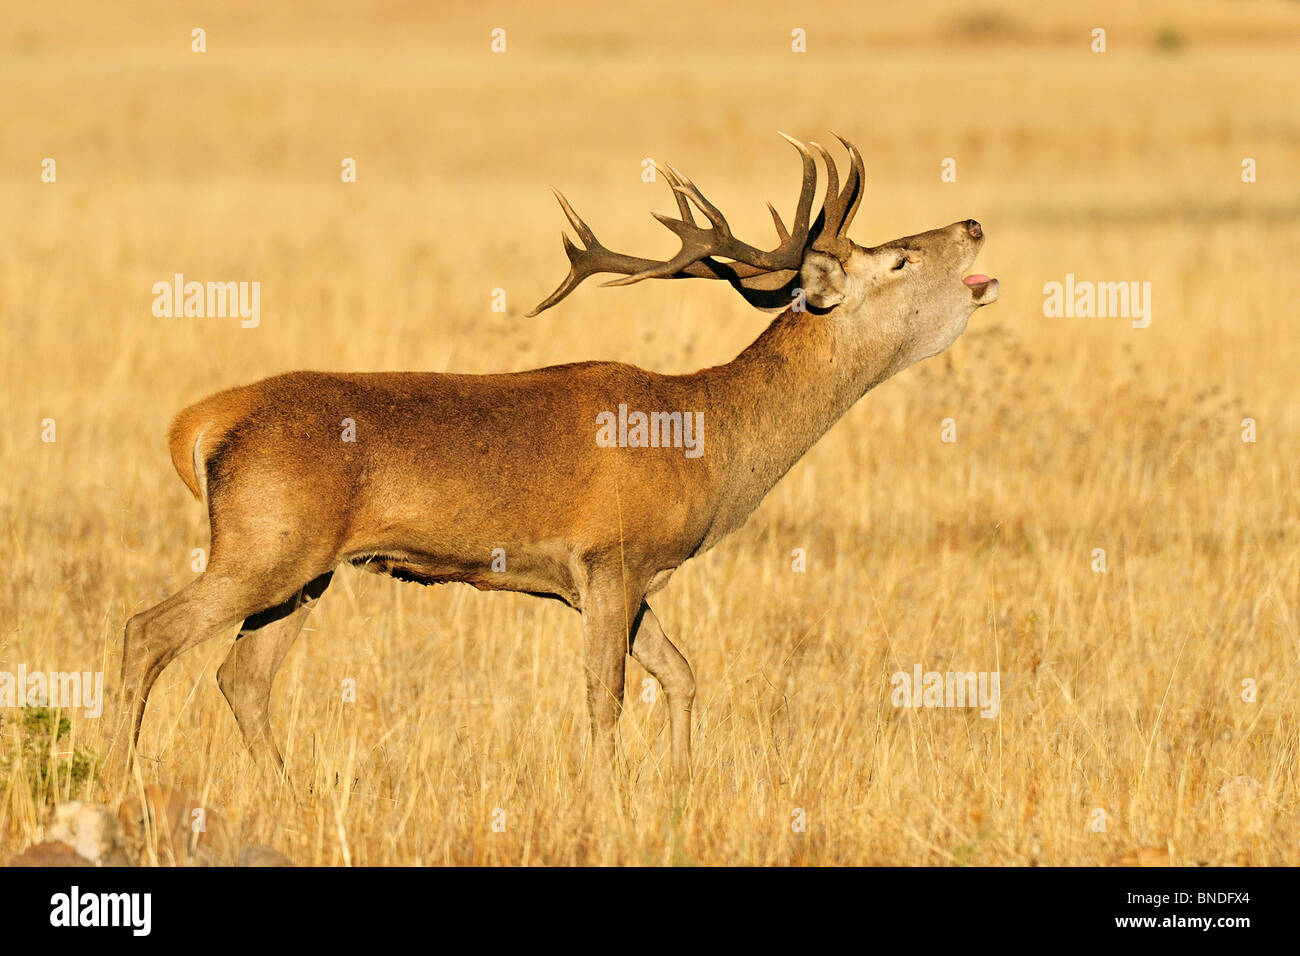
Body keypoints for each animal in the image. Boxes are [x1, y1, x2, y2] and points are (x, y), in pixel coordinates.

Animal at [110, 133, 997, 790]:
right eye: (899, 260)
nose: (974, 225)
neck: (709, 438)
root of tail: (204, 422)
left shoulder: (621, 578)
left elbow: (682, 673)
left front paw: (679, 788)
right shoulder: (609, 558)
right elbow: (606, 695)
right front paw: (607, 797)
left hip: (308, 570)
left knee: (242, 677)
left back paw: (286, 794)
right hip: (266, 544)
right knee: (147, 630)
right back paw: (119, 780)